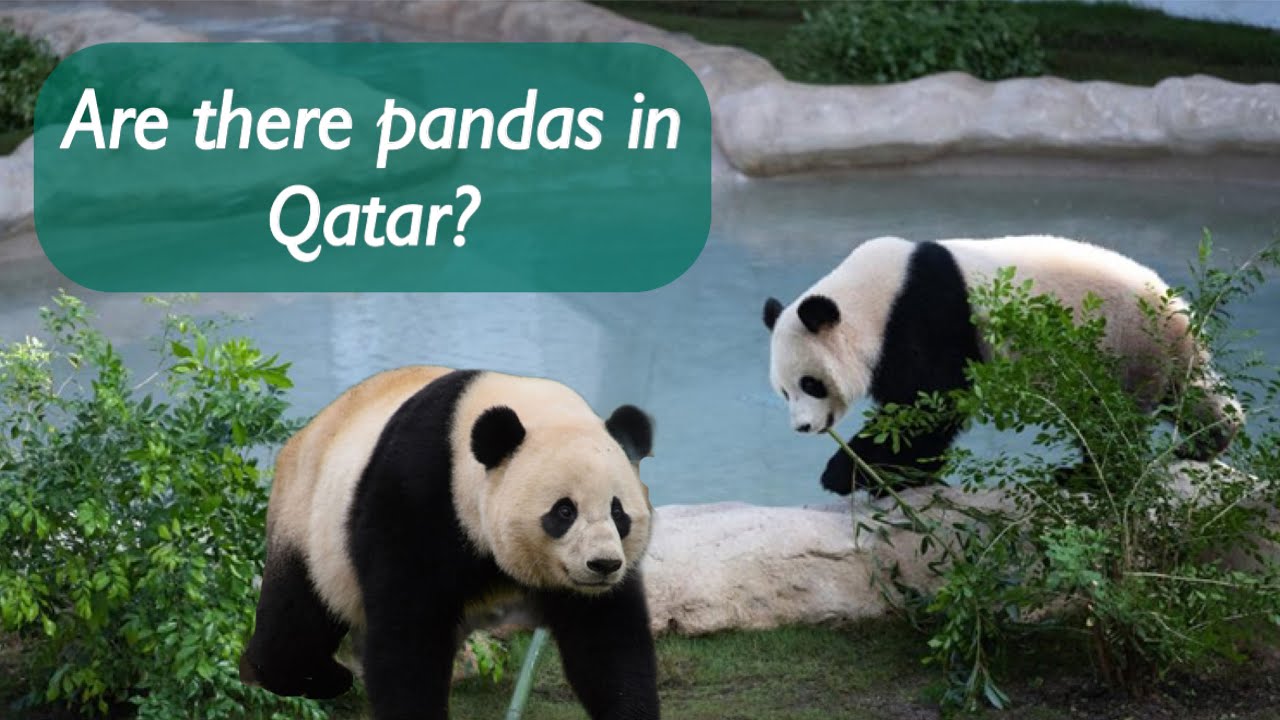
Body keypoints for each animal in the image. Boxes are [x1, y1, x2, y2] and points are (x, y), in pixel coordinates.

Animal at [238, 365, 659, 720]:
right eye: (564, 511)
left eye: (618, 512)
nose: (603, 565)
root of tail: (305, 433)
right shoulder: (416, 493)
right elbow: (408, 631)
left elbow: (607, 641)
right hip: (310, 518)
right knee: (298, 610)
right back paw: (312, 676)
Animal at [761, 235, 1242, 496]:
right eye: (784, 392)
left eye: (811, 384)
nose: (803, 427)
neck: (875, 296)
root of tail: (1178, 313)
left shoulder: (923, 318)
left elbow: (930, 403)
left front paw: (852, 473)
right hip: (1151, 356)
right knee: (1189, 393)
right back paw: (1208, 440)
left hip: (1118, 348)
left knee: (1107, 419)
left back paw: (1085, 475)